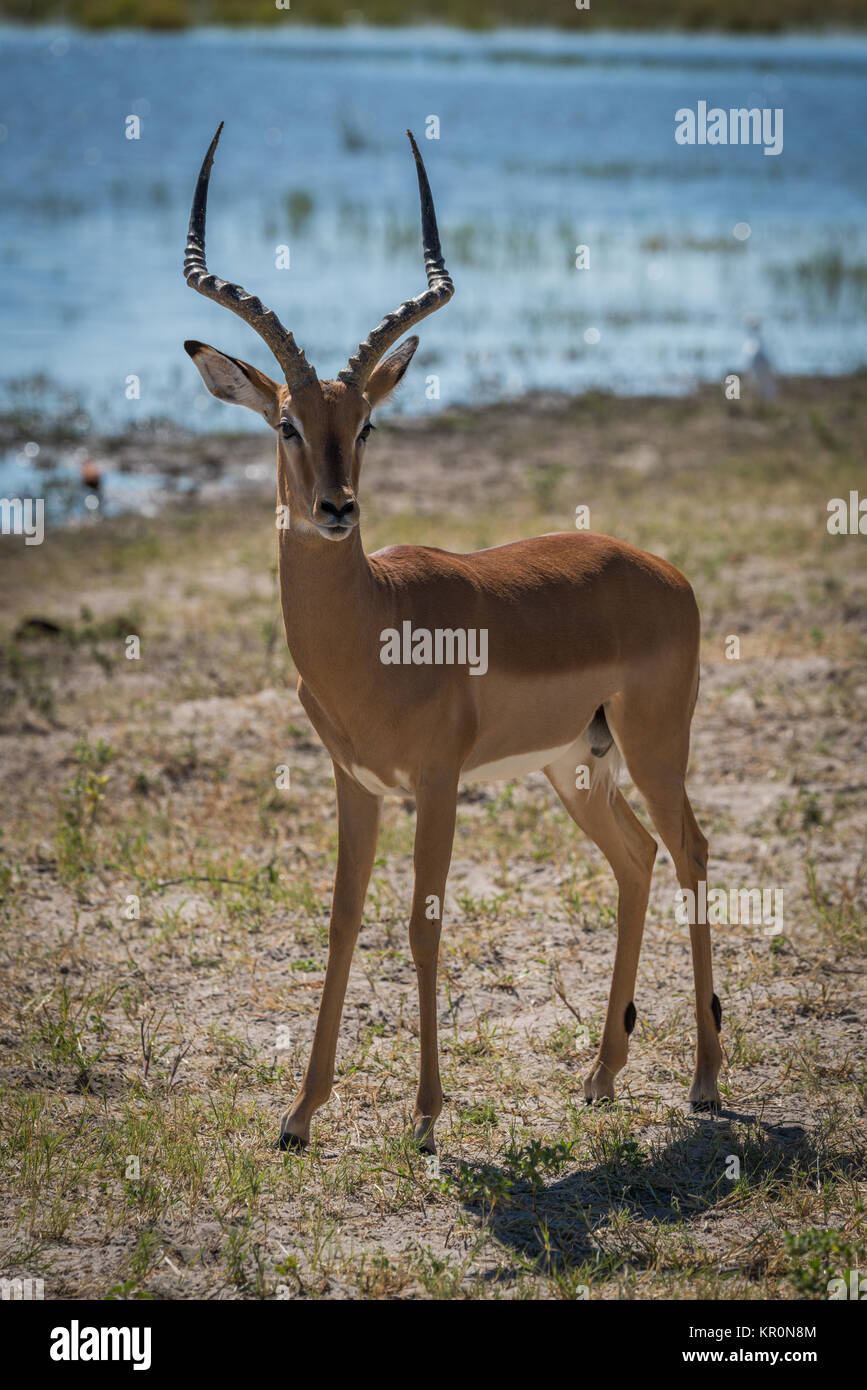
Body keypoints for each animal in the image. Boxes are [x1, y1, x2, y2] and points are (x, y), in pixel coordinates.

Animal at [183, 124, 723, 1154]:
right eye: (286, 423)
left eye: (367, 424)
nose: (336, 510)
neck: (374, 629)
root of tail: (662, 571)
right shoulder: (355, 783)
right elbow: (342, 919)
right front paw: (300, 1116)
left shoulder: (435, 784)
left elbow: (421, 924)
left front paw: (428, 1116)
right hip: (575, 763)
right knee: (635, 860)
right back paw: (601, 1075)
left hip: (652, 744)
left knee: (691, 850)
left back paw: (707, 1083)